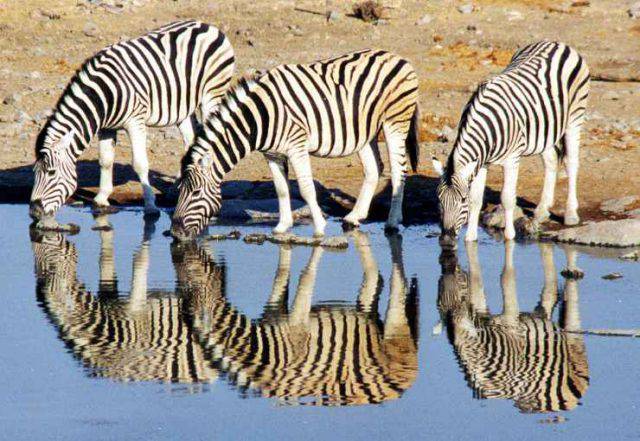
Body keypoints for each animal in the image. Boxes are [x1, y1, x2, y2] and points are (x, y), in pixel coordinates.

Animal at [29, 20, 235, 224]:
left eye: (51, 173)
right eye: (35, 173)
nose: (34, 212)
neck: (104, 96)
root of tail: (206, 25)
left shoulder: (135, 122)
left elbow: (140, 164)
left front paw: (151, 206)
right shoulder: (106, 127)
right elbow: (105, 160)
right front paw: (101, 199)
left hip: (212, 94)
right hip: (184, 107)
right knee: (190, 140)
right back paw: (176, 187)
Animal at [170, 49, 420, 240]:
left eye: (196, 192)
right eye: (180, 191)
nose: (175, 233)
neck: (260, 118)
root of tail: (397, 57)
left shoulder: (296, 145)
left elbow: (306, 188)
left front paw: (319, 227)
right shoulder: (271, 154)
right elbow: (281, 189)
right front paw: (282, 227)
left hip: (395, 122)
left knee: (398, 172)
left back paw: (392, 222)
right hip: (365, 132)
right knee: (374, 169)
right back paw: (354, 217)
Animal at [174, 231, 419, 405]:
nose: (177, 237)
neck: (262, 348)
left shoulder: (296, 327)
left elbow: (303, 279)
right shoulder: (274, 314)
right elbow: (280, 282)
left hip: (395, 331)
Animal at [432, 41, 590, 248]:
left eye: (461, 199)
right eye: (439, 200)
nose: (446, 241)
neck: (488, 128)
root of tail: (556, 43)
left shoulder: (512, 159)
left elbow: (507, 198)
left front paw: (509, 236)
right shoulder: (481, 162)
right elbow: (477, 200)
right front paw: (471, 238)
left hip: (574, 117)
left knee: (571, 163)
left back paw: (571, 214)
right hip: (545, 129)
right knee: (551, 161)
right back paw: (542, 211)